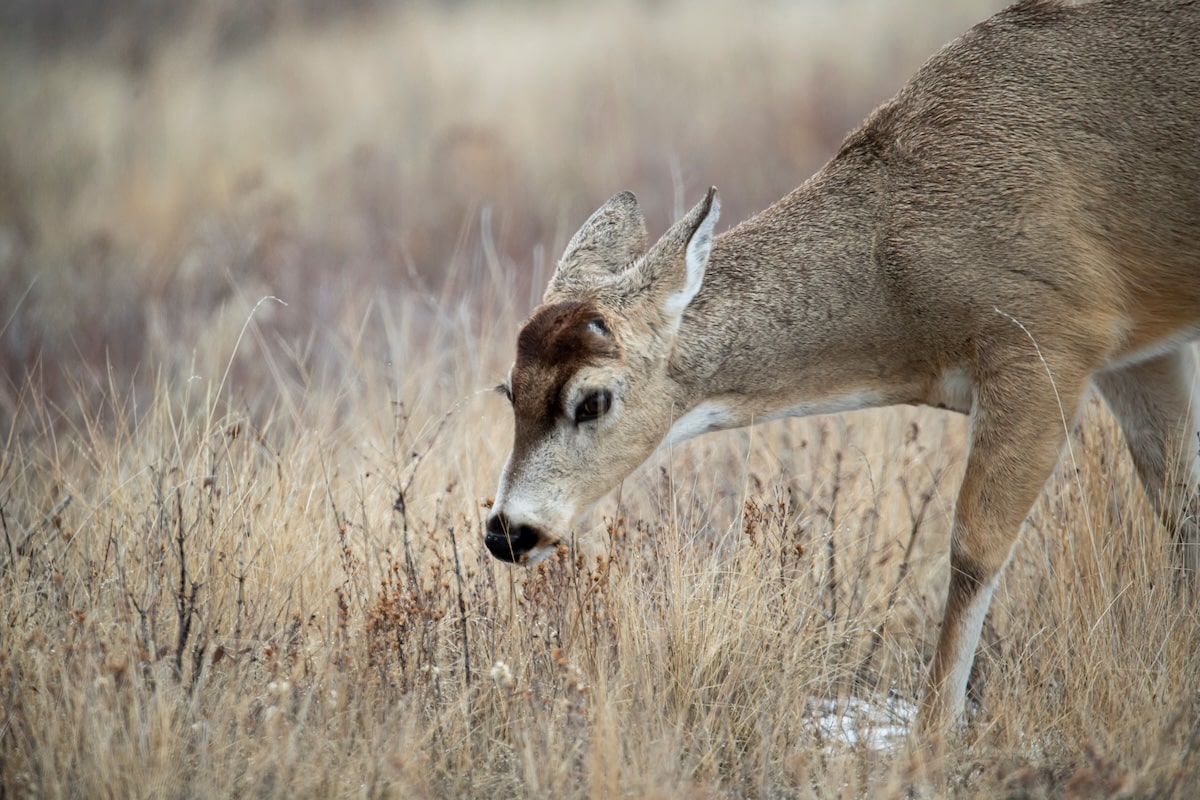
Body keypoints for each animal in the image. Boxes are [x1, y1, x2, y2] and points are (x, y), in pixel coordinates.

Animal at [484, 0, 1200, 736]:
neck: (899, 275)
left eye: (593, 400)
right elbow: (1181, 508)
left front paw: (930, 736)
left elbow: (974, 549)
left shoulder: (1047, 338)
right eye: (508, 389)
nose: (506, 532)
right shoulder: (1135, 351)